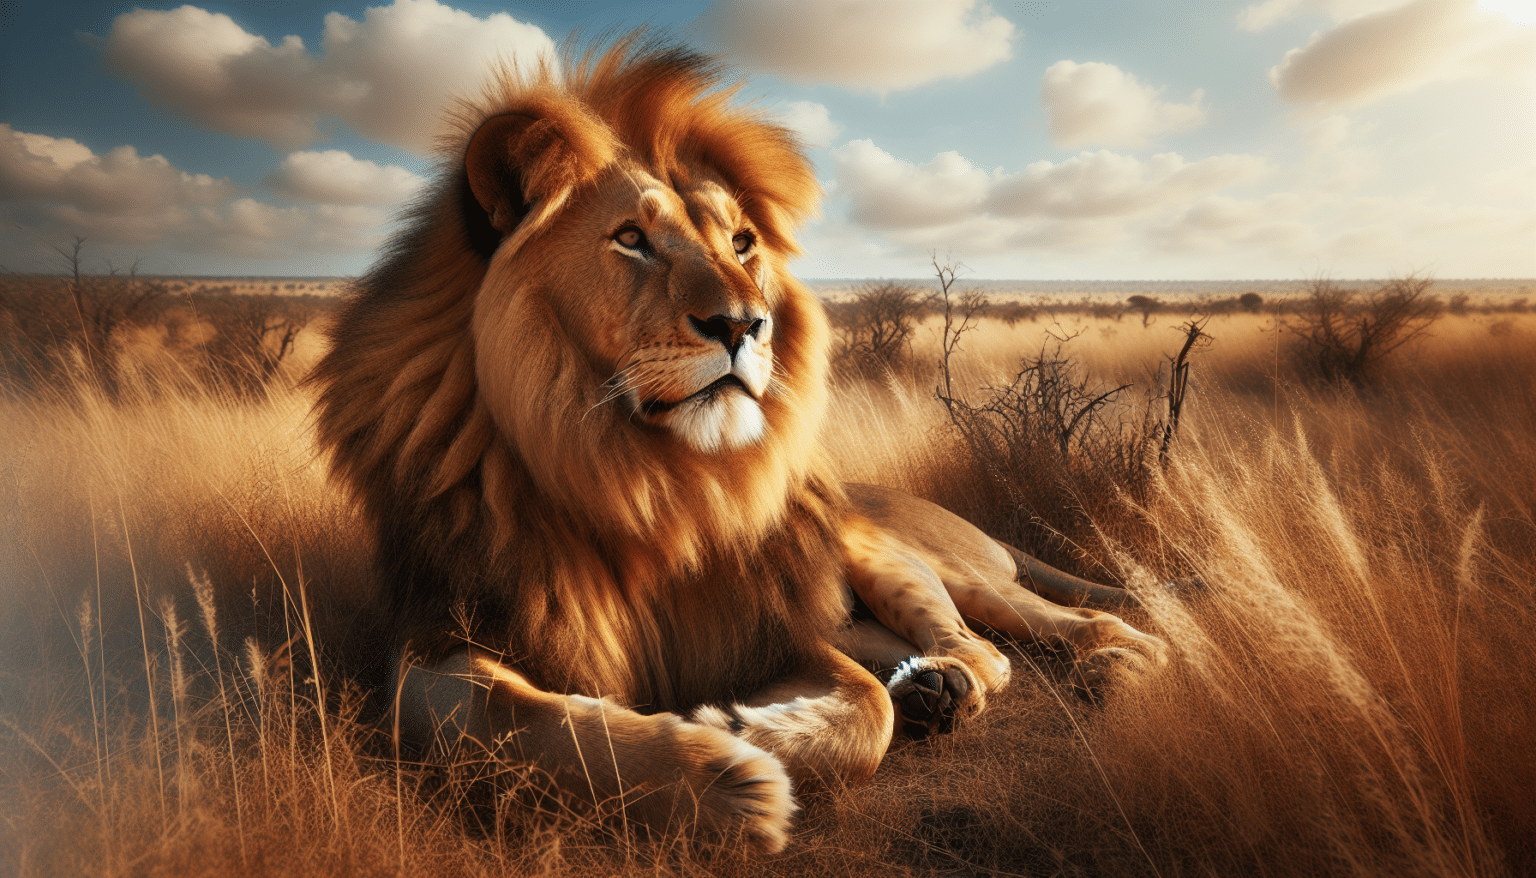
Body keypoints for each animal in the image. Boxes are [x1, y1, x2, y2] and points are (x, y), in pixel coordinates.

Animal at [310, 36, 1164, 853]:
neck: (646, 480)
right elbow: (497, 713)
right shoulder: (438, 635)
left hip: (919, 564)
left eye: (743, 243)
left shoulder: (772, 629)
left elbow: (864, 710)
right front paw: (722, 780)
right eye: (631, 239)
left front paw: (737, 733)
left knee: (1016, 638)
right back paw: (935, 691)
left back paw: (1082, 669)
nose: (746, 324)